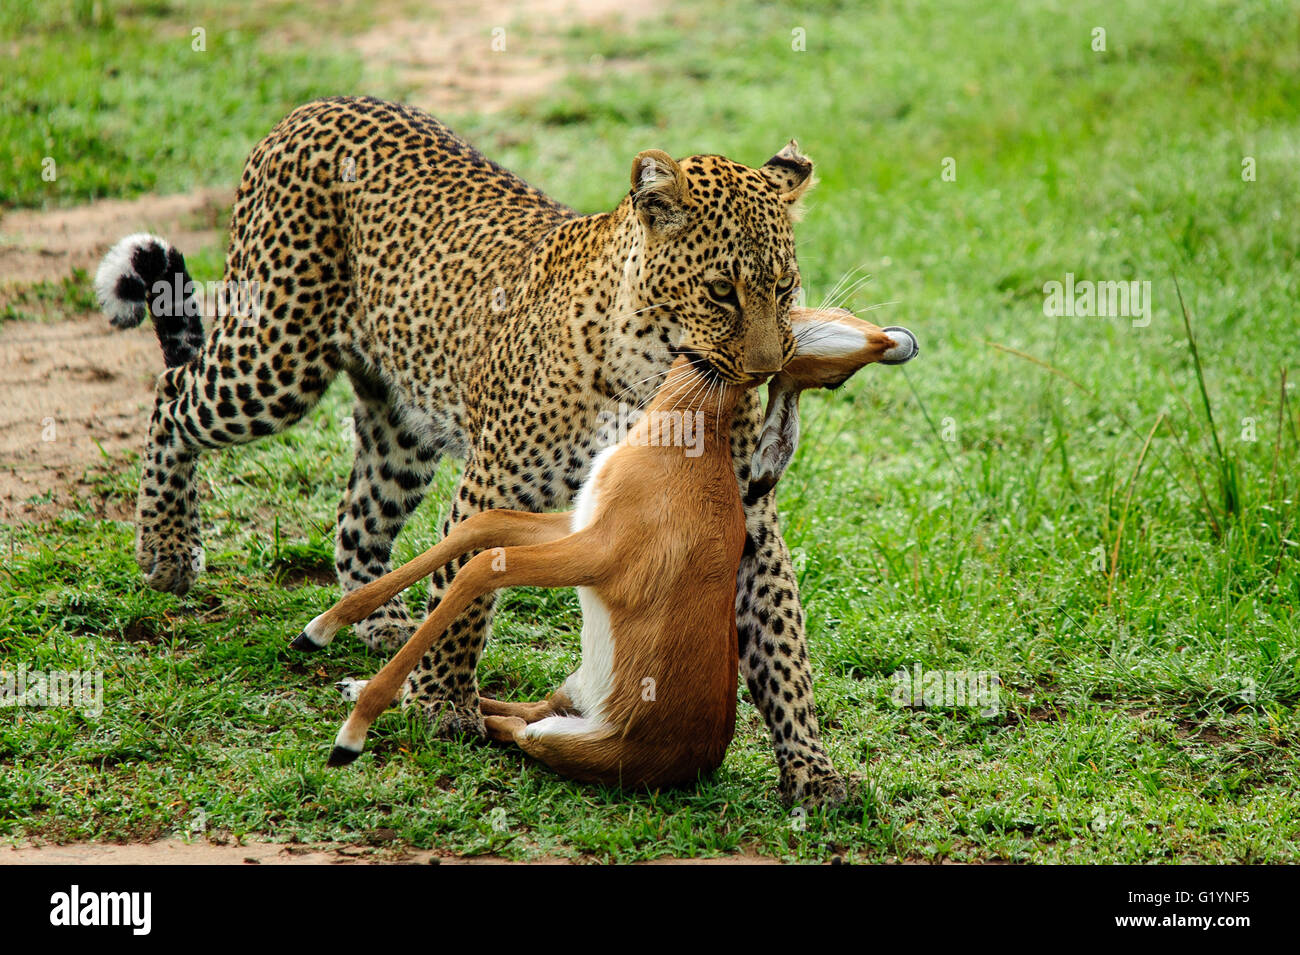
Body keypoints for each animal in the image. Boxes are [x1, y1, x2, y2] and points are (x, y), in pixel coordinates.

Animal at [95, 95, 848, 806]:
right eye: (722, 291)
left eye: (784, 287)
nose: (768, 367)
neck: (655, 373)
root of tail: (312, 108)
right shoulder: (496, 481)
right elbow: (465, 591)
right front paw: (441, 703)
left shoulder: (744, 517)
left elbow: (781, 637)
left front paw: (811, 768)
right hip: (275, 359)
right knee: (173, 397)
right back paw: (167, 551)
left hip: (400, 426)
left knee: (356, 522)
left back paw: (381, 625)